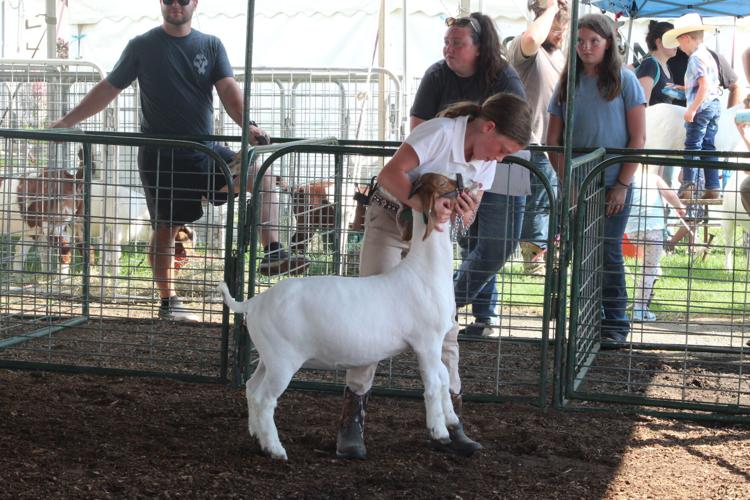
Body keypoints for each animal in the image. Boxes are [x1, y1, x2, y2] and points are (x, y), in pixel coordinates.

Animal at [218, 173, 461, 460]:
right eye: (444, 183)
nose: (463, 182)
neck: (423, 271)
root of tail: (254, 302)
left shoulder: (434, 343)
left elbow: (444, 377)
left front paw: (451, 420)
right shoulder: (426, 341)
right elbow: (433, 384)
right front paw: (440, 432)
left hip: (267, 356)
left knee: (251, 389)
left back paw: (257, 438)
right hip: (282, 360)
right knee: (264, 399)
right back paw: (275, 449)